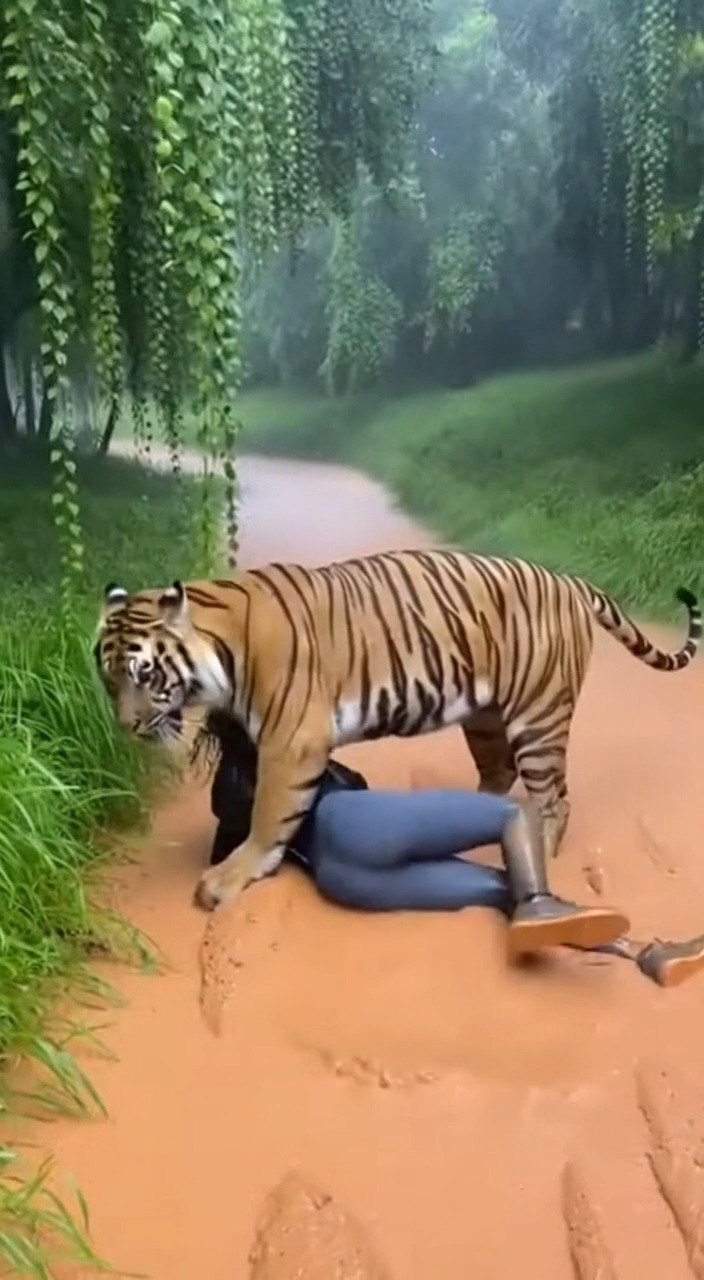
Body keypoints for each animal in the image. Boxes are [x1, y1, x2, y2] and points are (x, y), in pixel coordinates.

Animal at [94, 550, 701, 911]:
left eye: (145, 673)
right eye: (108, 679)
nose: (127, 726)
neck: (222, 639)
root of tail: (571, 580)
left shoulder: (292, 742)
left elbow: (269, 813)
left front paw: (229, 878)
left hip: (540, 716)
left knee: (555, 797)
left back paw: (545, 848)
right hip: (484, 717)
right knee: (499, 777)